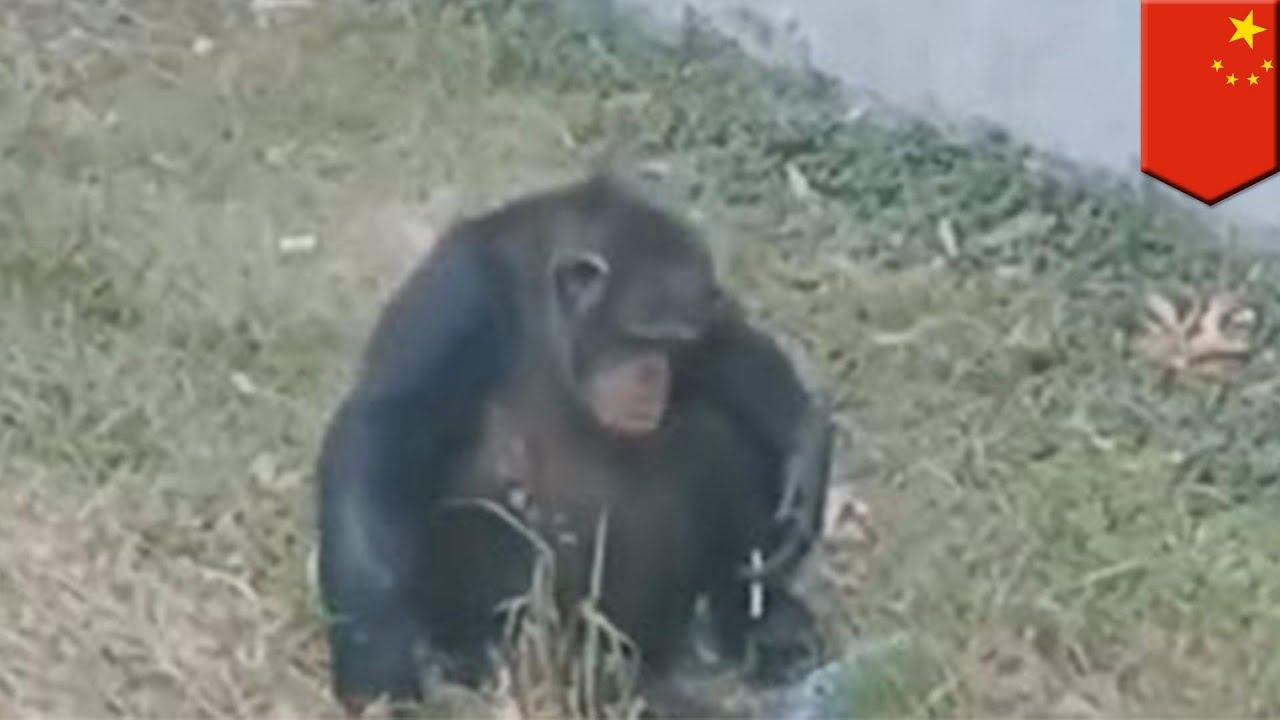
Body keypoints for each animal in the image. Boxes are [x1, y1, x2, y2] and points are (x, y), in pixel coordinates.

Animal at [315, 175, 832, 716]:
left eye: (676, 345)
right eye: (637, 338)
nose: (653, 377)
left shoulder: (706, 302)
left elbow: (733, 347)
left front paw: (806, 451)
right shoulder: (455, 297)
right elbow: (381, 430)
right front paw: (377, 660)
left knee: (710, 427)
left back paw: (764, 625)